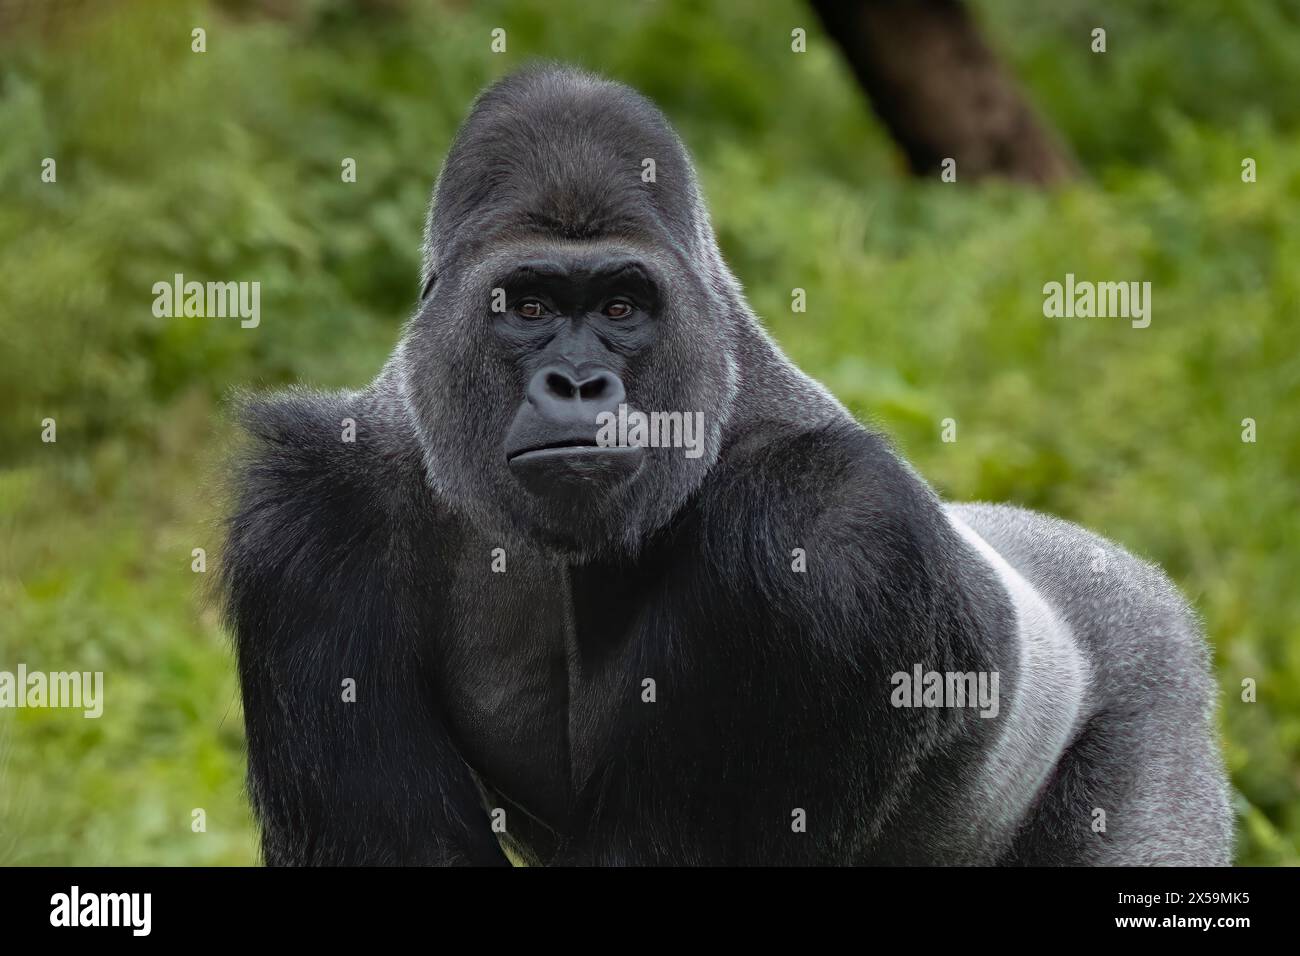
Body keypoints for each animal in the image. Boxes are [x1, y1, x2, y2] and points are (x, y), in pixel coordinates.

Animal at [220, 65, 1232, 865]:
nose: (578, 383)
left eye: (622, 308)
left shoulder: (831, 543)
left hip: (1156, 688)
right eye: (530, 304)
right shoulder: (310, 526)